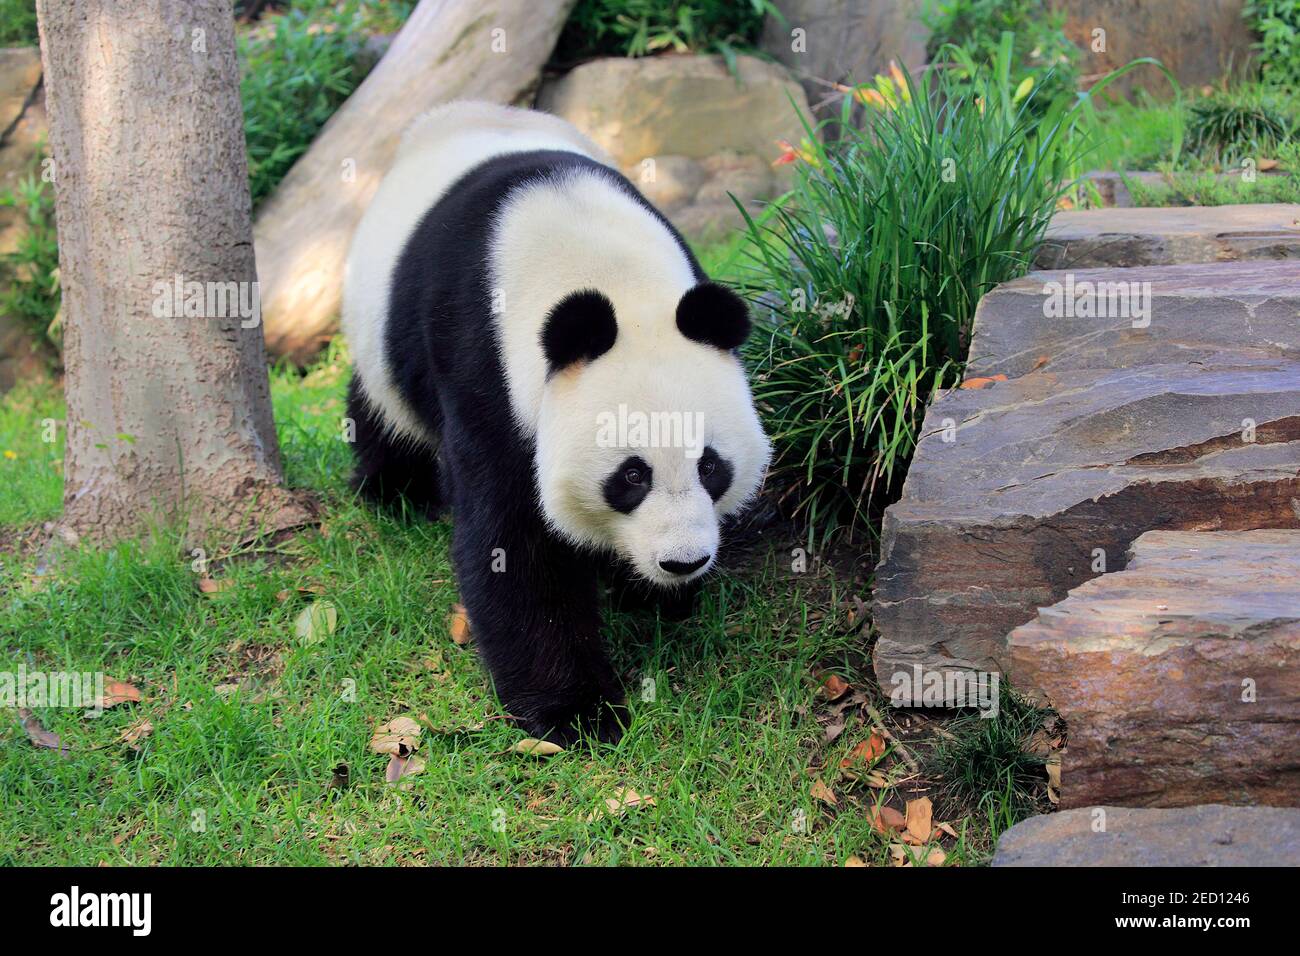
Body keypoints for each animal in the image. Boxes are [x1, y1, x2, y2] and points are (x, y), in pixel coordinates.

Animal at [342, 101, 771, 746]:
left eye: (711, 467)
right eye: (631, 476)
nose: (682, 561)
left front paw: (650, 596)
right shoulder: (484, 370)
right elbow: (514, 544)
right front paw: (579, 713)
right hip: (379, 336)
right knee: (383, 413)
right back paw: (395, 492)